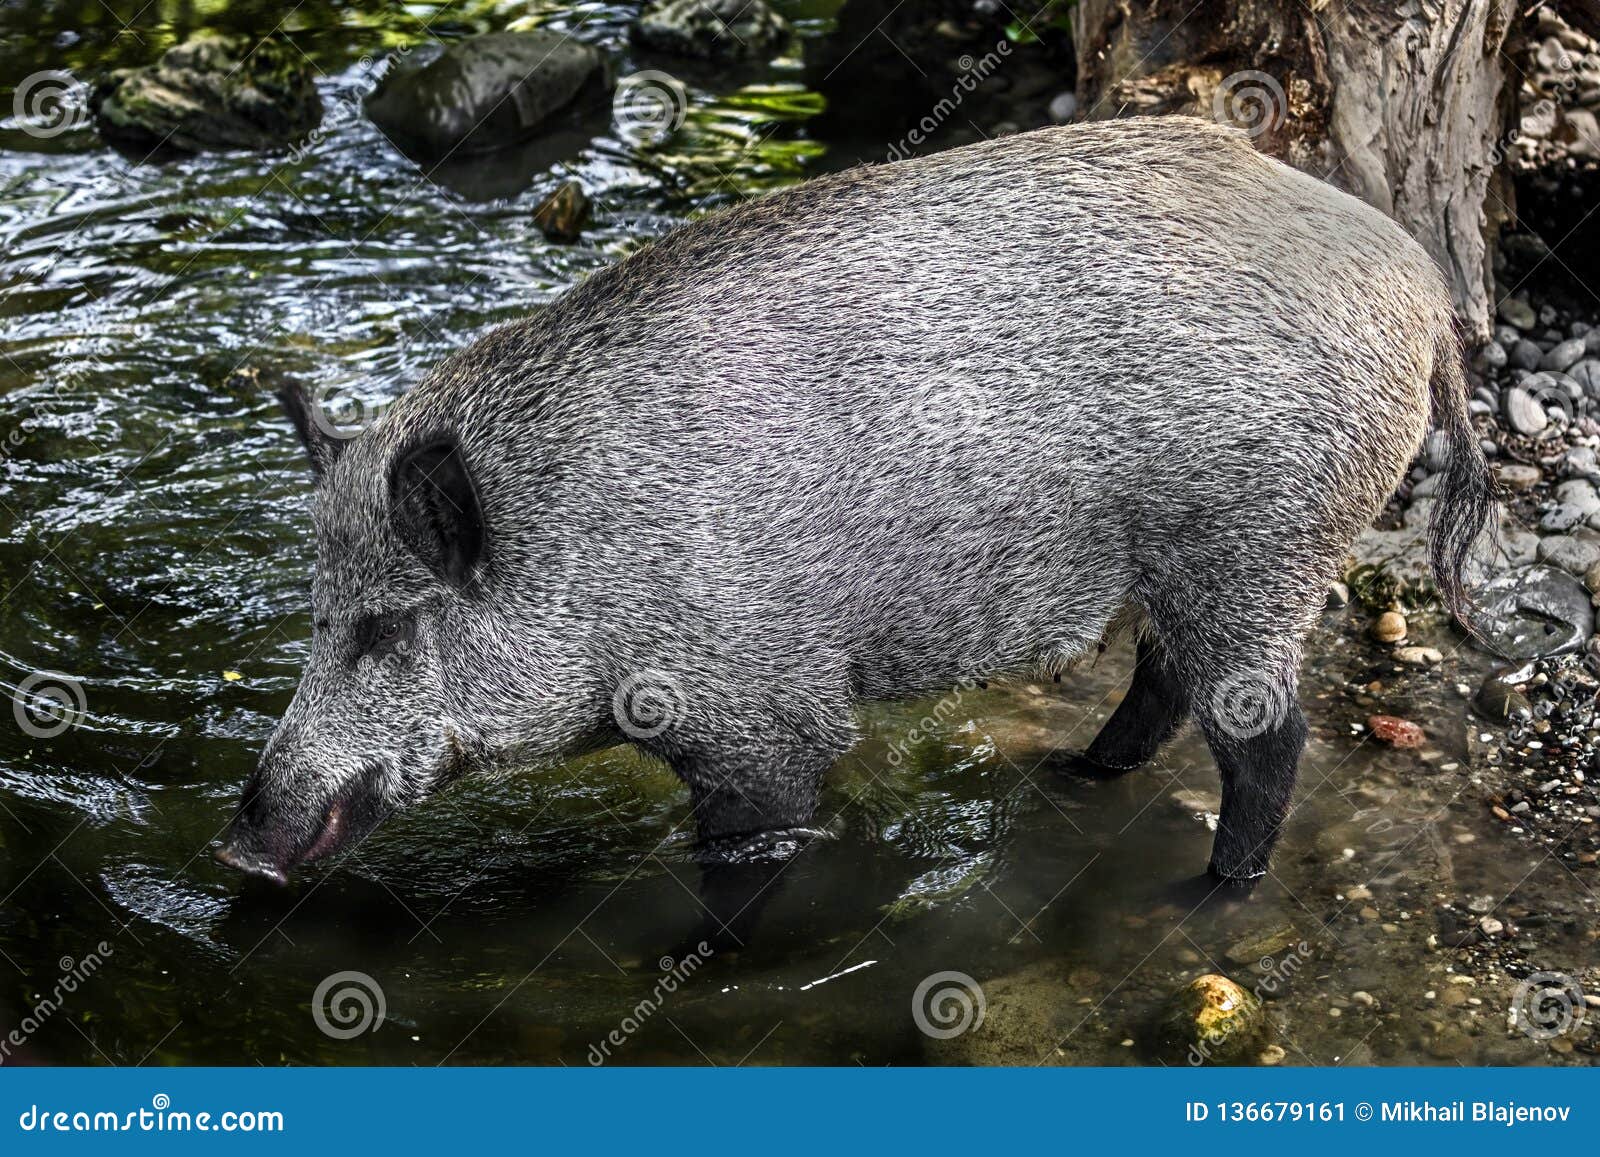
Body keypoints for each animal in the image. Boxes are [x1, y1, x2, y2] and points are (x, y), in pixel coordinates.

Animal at [215, 116, 1493, 894]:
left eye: (386, 626)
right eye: (314, 616)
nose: (237, 844)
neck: (584, 544)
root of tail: (1422, 292)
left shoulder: (760, 712)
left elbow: (753, 845)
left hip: (1260, 540)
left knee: (1266, 736)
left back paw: (1212, 895)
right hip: (1190, 560)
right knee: (1164, 681)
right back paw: (1073, 776)